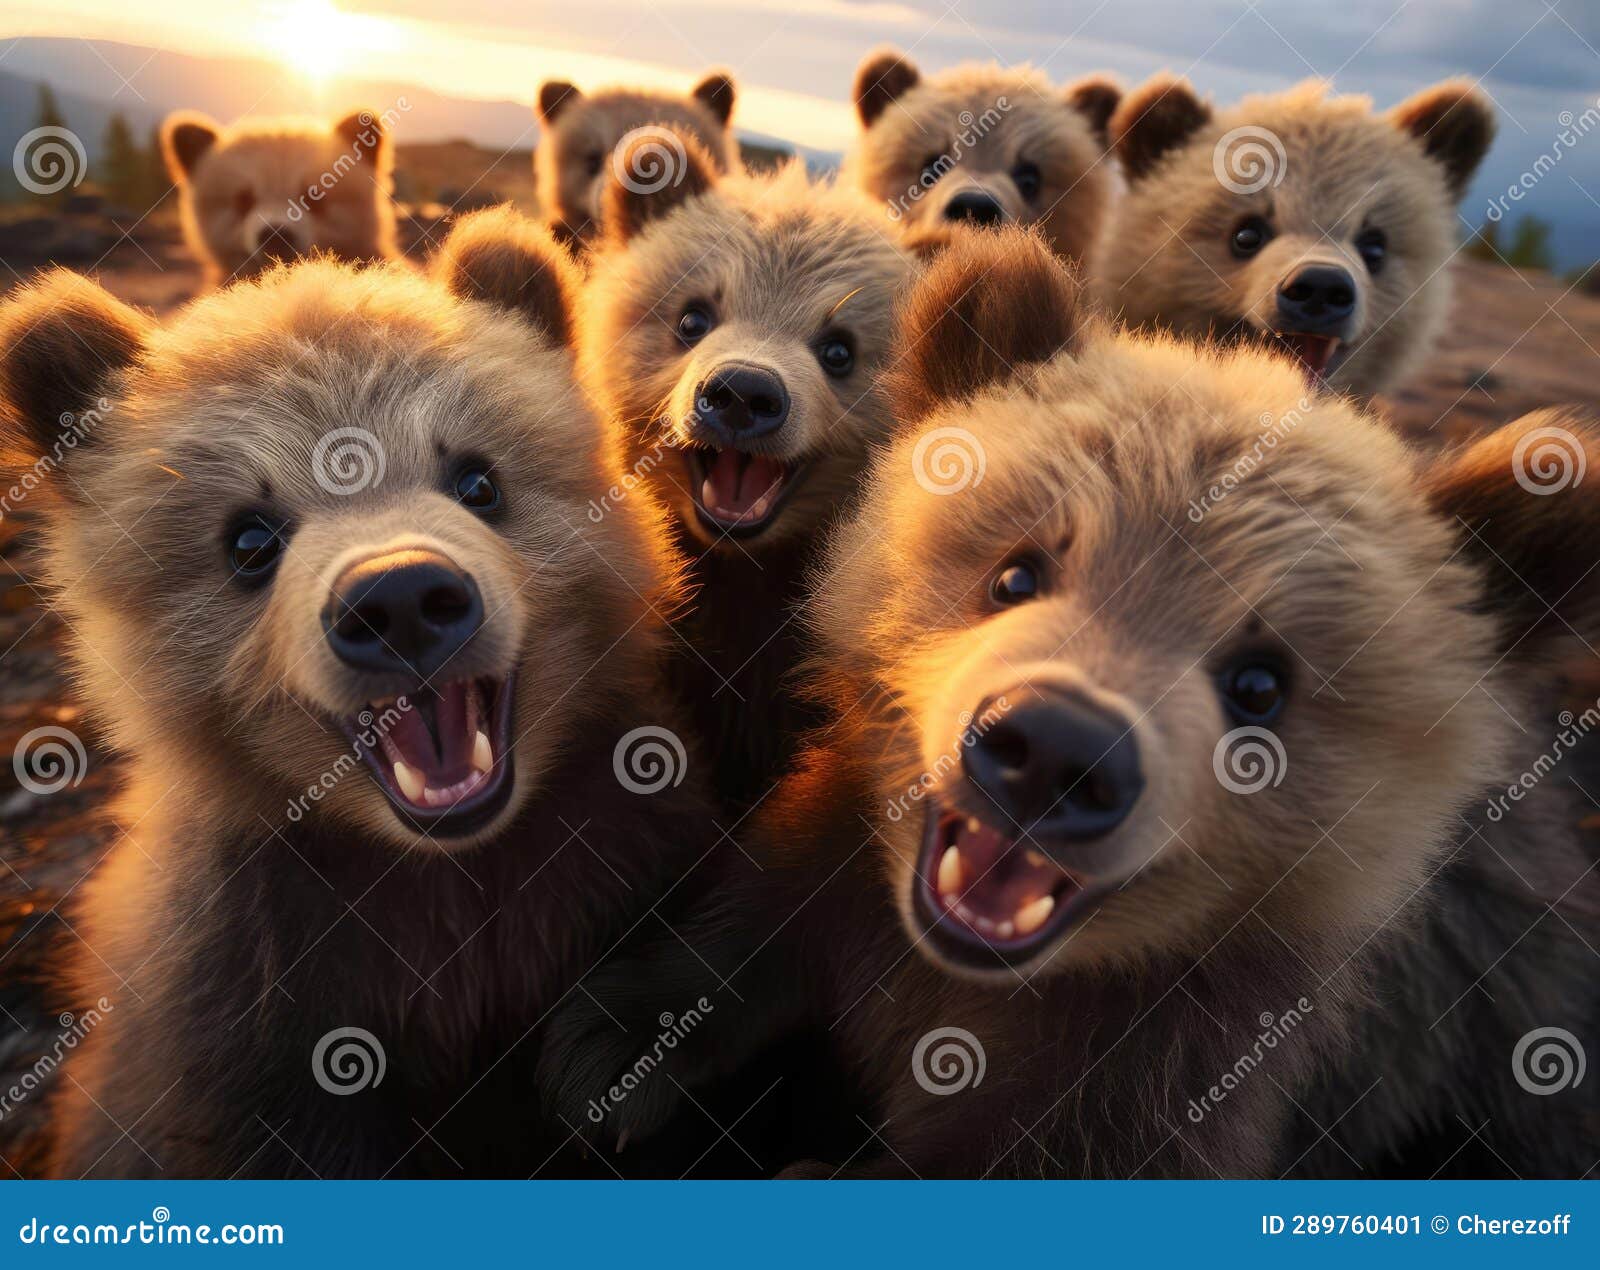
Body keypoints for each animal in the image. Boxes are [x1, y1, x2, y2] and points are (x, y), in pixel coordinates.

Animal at [537, 228, 1599, 1178]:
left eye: (1262, 681)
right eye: (1016, 573)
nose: (1052, 750)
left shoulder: (1163, 1072)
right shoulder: (833, 852)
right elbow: (752, 929)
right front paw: (612, 1046)